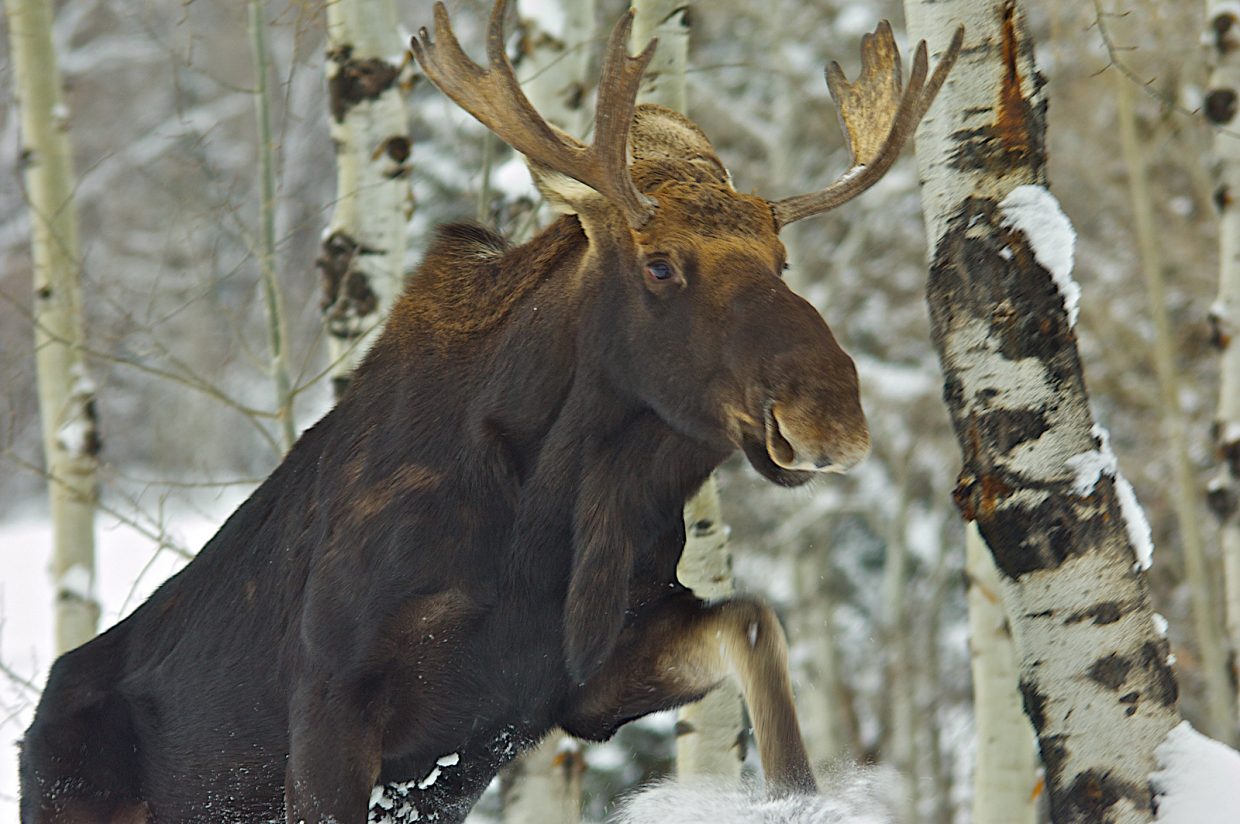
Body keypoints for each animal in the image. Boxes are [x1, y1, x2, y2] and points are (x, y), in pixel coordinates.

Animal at [19, 3, 960, 822]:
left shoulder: (576, 680)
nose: (828, 413)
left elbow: (757, 624)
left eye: (781, 257)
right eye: (659, 263)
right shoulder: (330, 699)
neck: (553, 516)